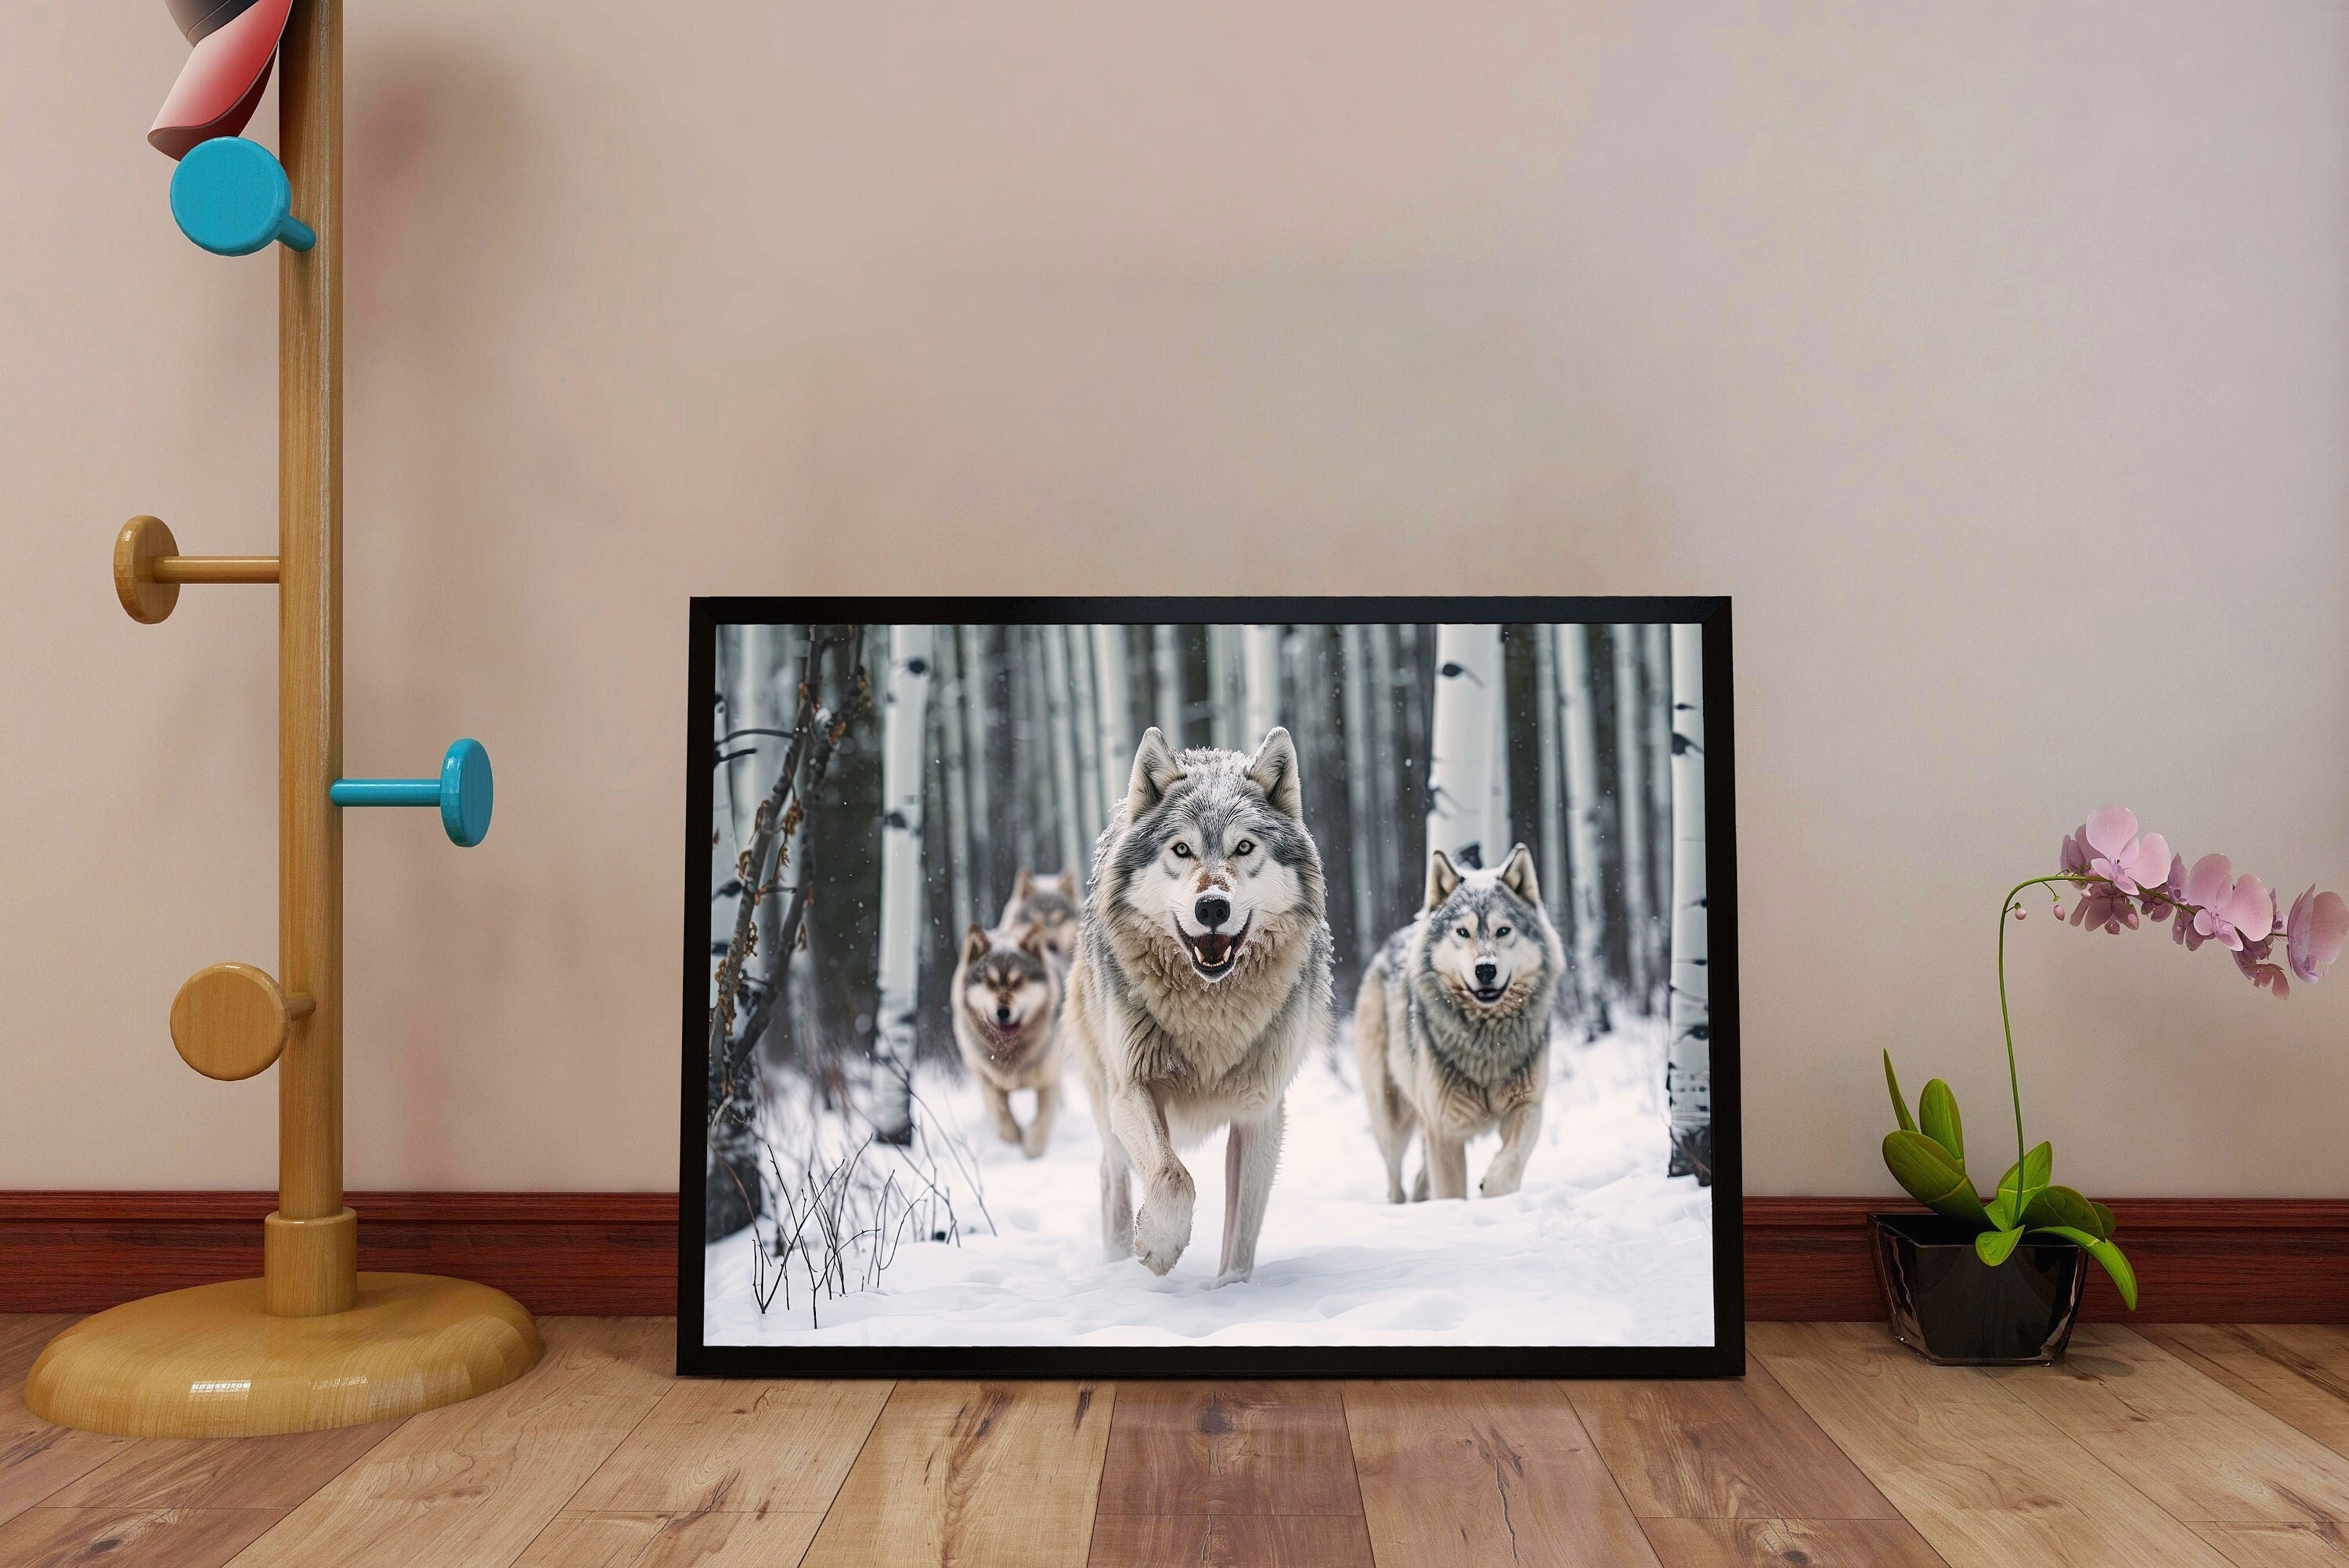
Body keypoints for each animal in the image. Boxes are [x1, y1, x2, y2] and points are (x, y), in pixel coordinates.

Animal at [949, 921, 1063, 1158]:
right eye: (989, 983)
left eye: (1018, 982)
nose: (1003, 1012)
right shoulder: (987, 1080)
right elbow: (1000, 1114)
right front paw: (1012, 1137)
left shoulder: (1049, 1081)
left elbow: (1043, 1120)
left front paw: (1032, 1149)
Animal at [1063, 726, 1334, 1284]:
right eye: (1182, 849)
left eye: (1245, 847)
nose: (1212, 907)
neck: (1211, 1011)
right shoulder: (1132, 1088)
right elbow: (1173, 1178)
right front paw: (1159, 1246)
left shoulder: (1261, 1113)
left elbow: (1242, 1231)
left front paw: (1231, 1291)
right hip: (1105, 1096)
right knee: (1113, 1171)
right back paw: (1116, 1256)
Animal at [1356, 844, 1565, 1203]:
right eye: (1462, 932)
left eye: (1503, 930)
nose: (1485, 969)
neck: (1487, 1044)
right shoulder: (1445, 1131)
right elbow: (1451, 1193)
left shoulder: (1528, 1106)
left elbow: (1510, 1163)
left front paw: (1492, 1189)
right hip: (1391, 1122)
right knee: (1396, 1180)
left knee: (1419, 1178)